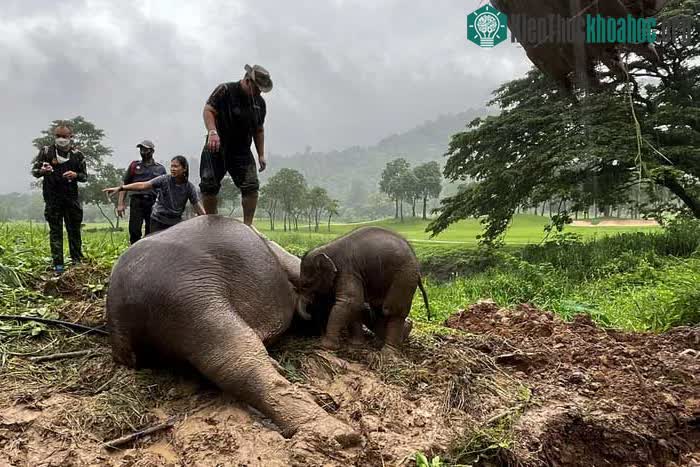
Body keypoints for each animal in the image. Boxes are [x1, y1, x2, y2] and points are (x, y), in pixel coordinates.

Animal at [298, 227, 430, 352]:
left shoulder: (347, 269)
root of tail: (417, 264)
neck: (326, 247)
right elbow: (356, 304)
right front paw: (356, 344)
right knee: (379, 309)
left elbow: (350, 301)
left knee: (392, 309)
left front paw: (326, 346)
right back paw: (380, 343)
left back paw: (388, 352)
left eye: (306, 285)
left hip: (404, 276)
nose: (309, 315)